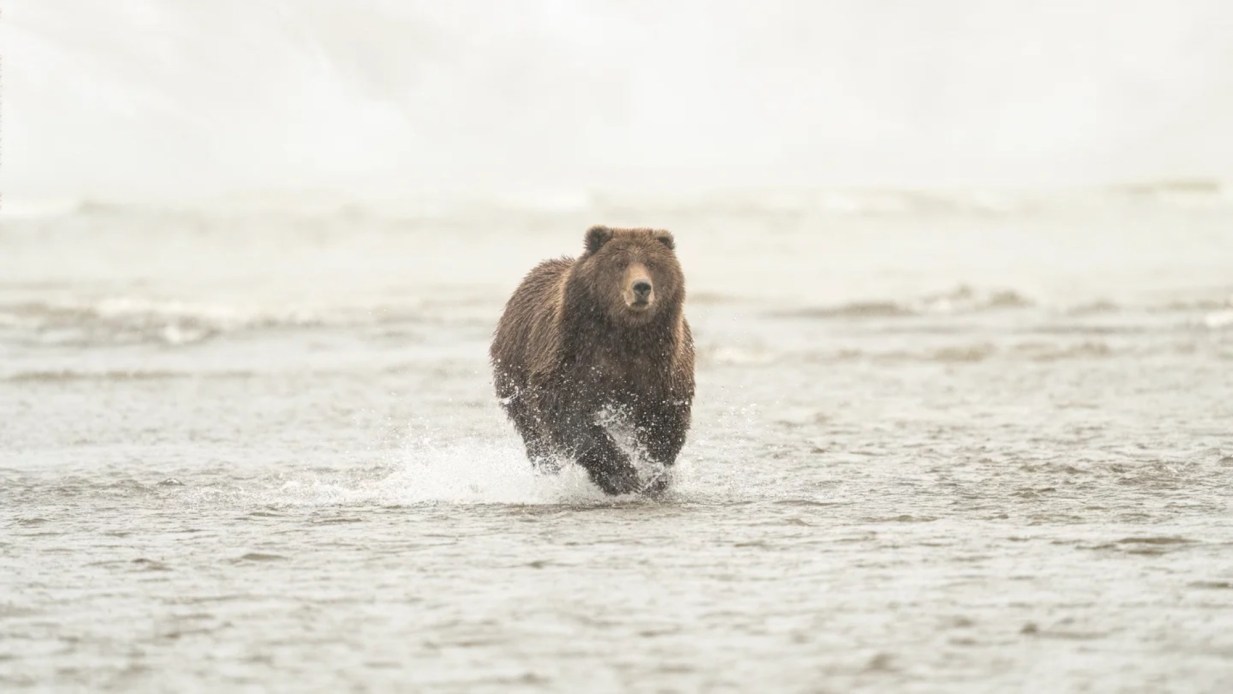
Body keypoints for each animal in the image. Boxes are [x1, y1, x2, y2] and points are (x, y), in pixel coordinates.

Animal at [490, 226, 695, 496]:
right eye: (620, 263)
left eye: (652, 263)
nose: (641, 287)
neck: (626, 335)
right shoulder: (573, 354)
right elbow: (567, 412)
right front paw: (622, 475)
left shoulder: (661, 365)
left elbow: (664, 420)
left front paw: (652, 475)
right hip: (514, 372)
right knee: (535, 436)